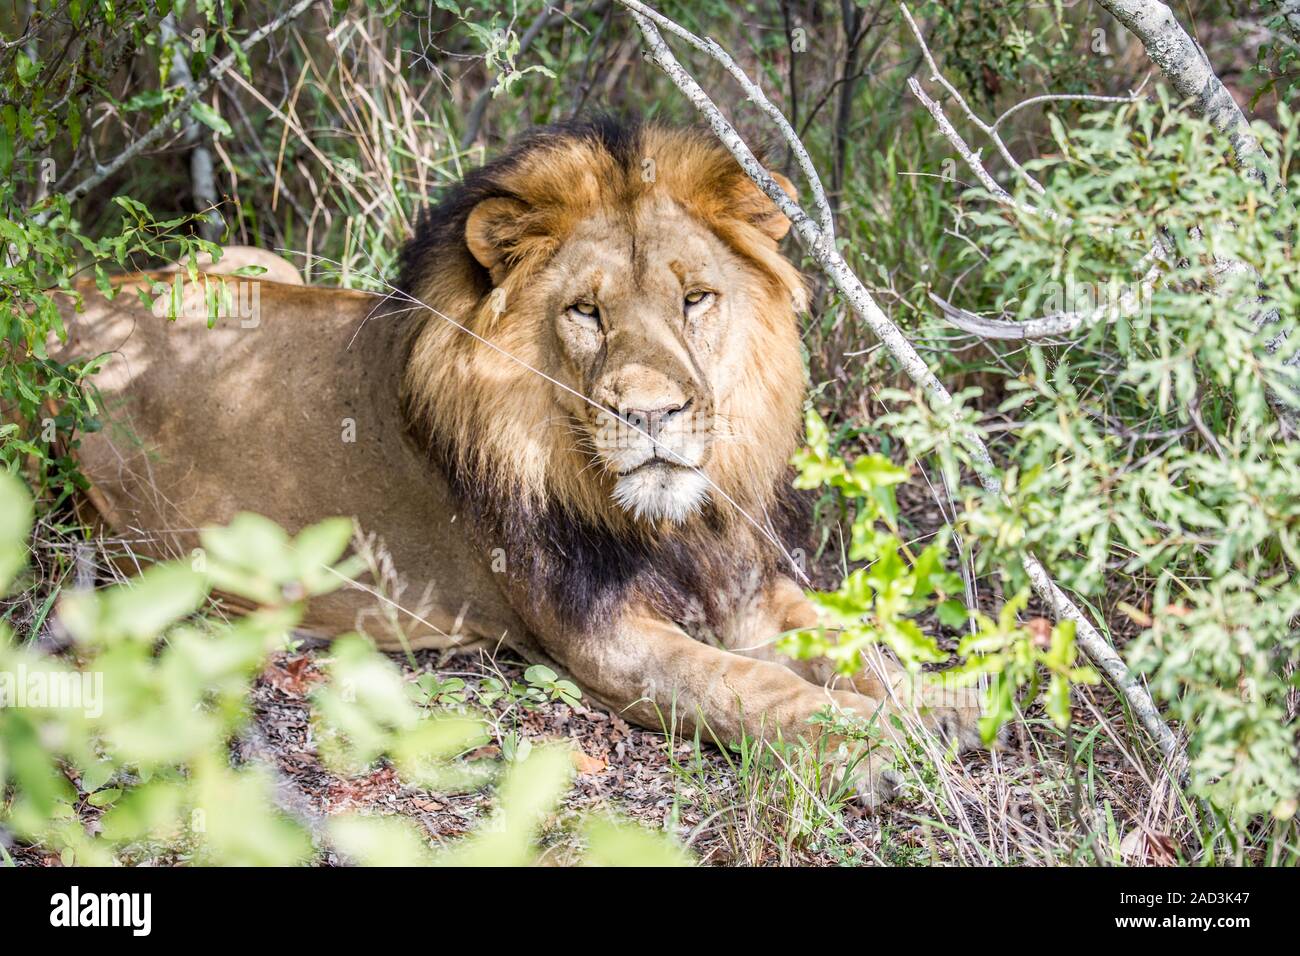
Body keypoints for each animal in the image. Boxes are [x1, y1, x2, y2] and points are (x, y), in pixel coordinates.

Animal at [54, 118, 982, 805]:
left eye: (696, 298)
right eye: (586, 313)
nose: (650, 413)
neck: (674, 524)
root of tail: (63, 298)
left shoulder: (750, 591)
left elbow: (860, 644)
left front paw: (949, 702)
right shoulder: (605, 641)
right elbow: (751, 687)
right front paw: (869, 742)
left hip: (252, 261)